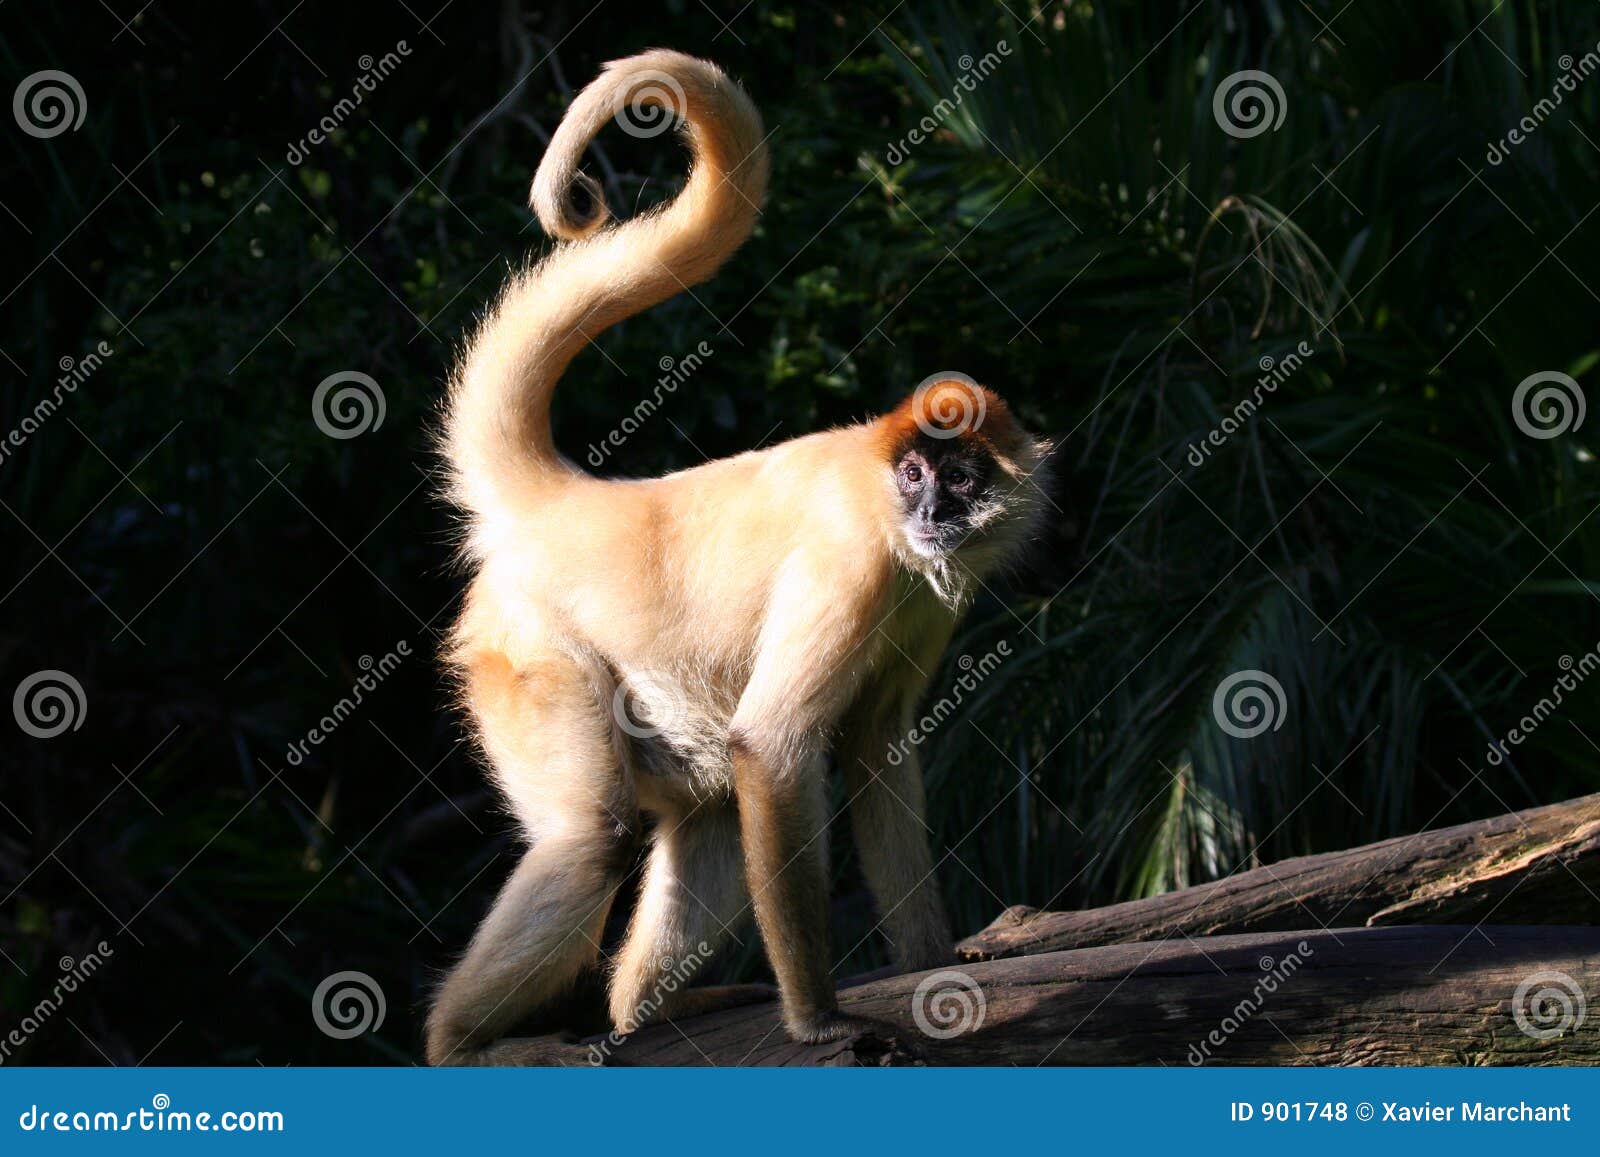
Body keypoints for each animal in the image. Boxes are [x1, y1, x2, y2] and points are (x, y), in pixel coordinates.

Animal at [424, 49, 1050, 1066]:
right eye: (914, 471)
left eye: (957, 479)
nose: (927, 508)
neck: (878, 503)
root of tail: (574, 502)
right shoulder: (853, 561)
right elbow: (773, 746)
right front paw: (819, 1019)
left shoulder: (928, 594)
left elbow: (875, 748)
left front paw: (936, 959)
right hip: (528, 653)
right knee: (594, 834)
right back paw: (464, 1044)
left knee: (709, 810)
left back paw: (647, 1011)